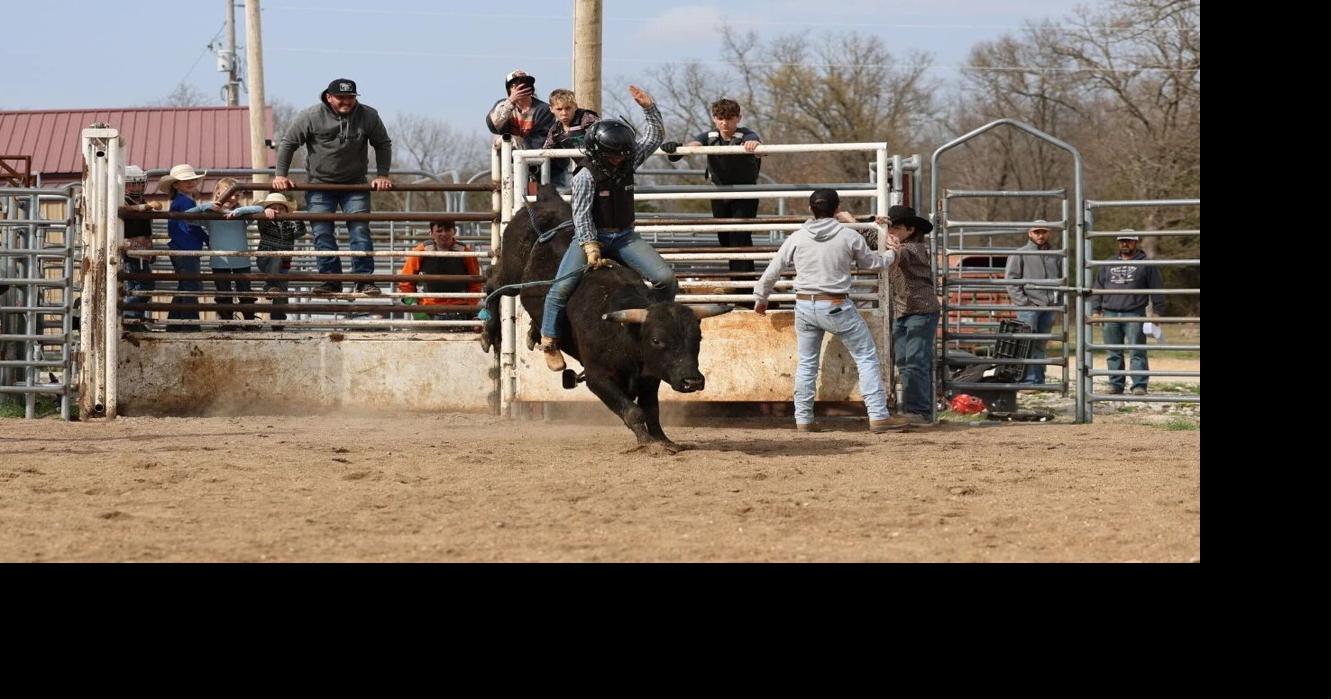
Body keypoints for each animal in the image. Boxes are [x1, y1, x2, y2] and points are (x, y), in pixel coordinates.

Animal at [481, 183, 731, 453]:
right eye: (656, 340)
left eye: (699, 338)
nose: (692, 381)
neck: (625, 332)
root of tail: (546, 199)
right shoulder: (598, 378)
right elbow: (633, 412)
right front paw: (646, 442)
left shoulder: (650, 376)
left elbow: (652, 411)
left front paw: (664, 440)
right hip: (511, 272)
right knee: (492, 282)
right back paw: (490, 333)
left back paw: (534, 333)